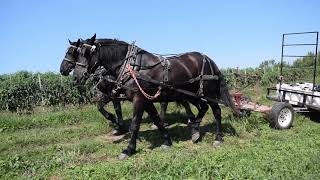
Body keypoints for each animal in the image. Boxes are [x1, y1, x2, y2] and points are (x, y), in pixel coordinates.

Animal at [72, 34, 238, 160]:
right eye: (76, 55)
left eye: (87, 53)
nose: (76, 77)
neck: (131, 67)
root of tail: (209, 59)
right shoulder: (146, 100)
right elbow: (157, 120)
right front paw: (167, 141)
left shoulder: (139, 99)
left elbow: (135, 124)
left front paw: (128, 150)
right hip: (193, 93)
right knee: (203, 107)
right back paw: (195, 129)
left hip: (208, 92)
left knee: (216, 111)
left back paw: (217, 138)